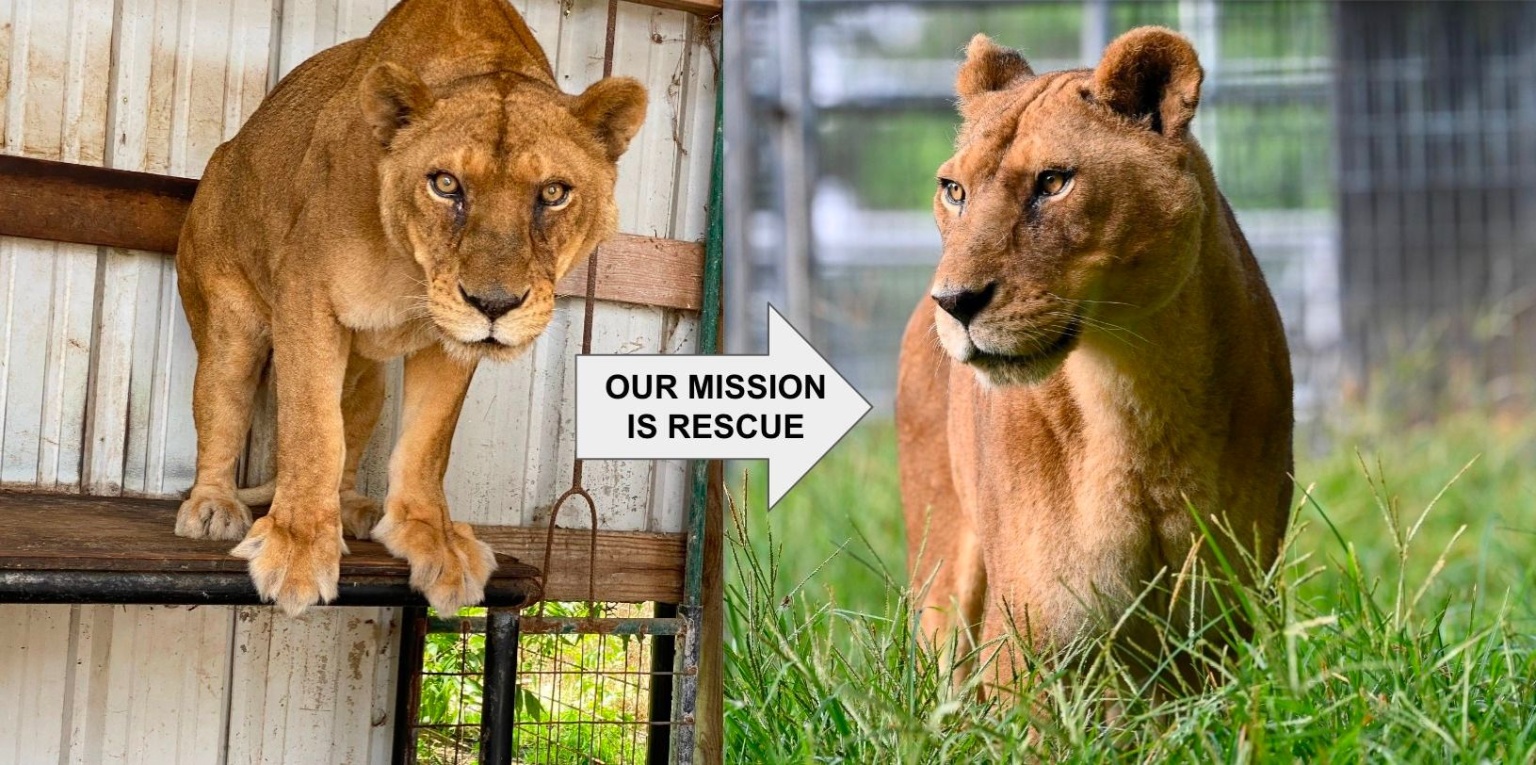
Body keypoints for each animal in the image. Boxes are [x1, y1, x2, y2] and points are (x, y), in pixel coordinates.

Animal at [173, 0, 647, 616]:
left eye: (553, 193)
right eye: (445, 184)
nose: (494, 304)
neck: (411, 272)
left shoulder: (453, 339)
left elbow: (426, 443)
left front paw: (432, 539)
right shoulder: (304, 295)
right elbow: (311, 429)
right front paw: (297, 546)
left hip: (366, 381)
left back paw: (354, 508)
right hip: (231, 326)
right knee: (222, 408)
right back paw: (213, 506)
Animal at [897, 27, 1293, 690]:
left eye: (1053, 182)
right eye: (954, 191)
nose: (952, 302)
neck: (1138, 393)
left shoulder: (1223, 628)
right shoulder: (1029, 632)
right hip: (943, 566)